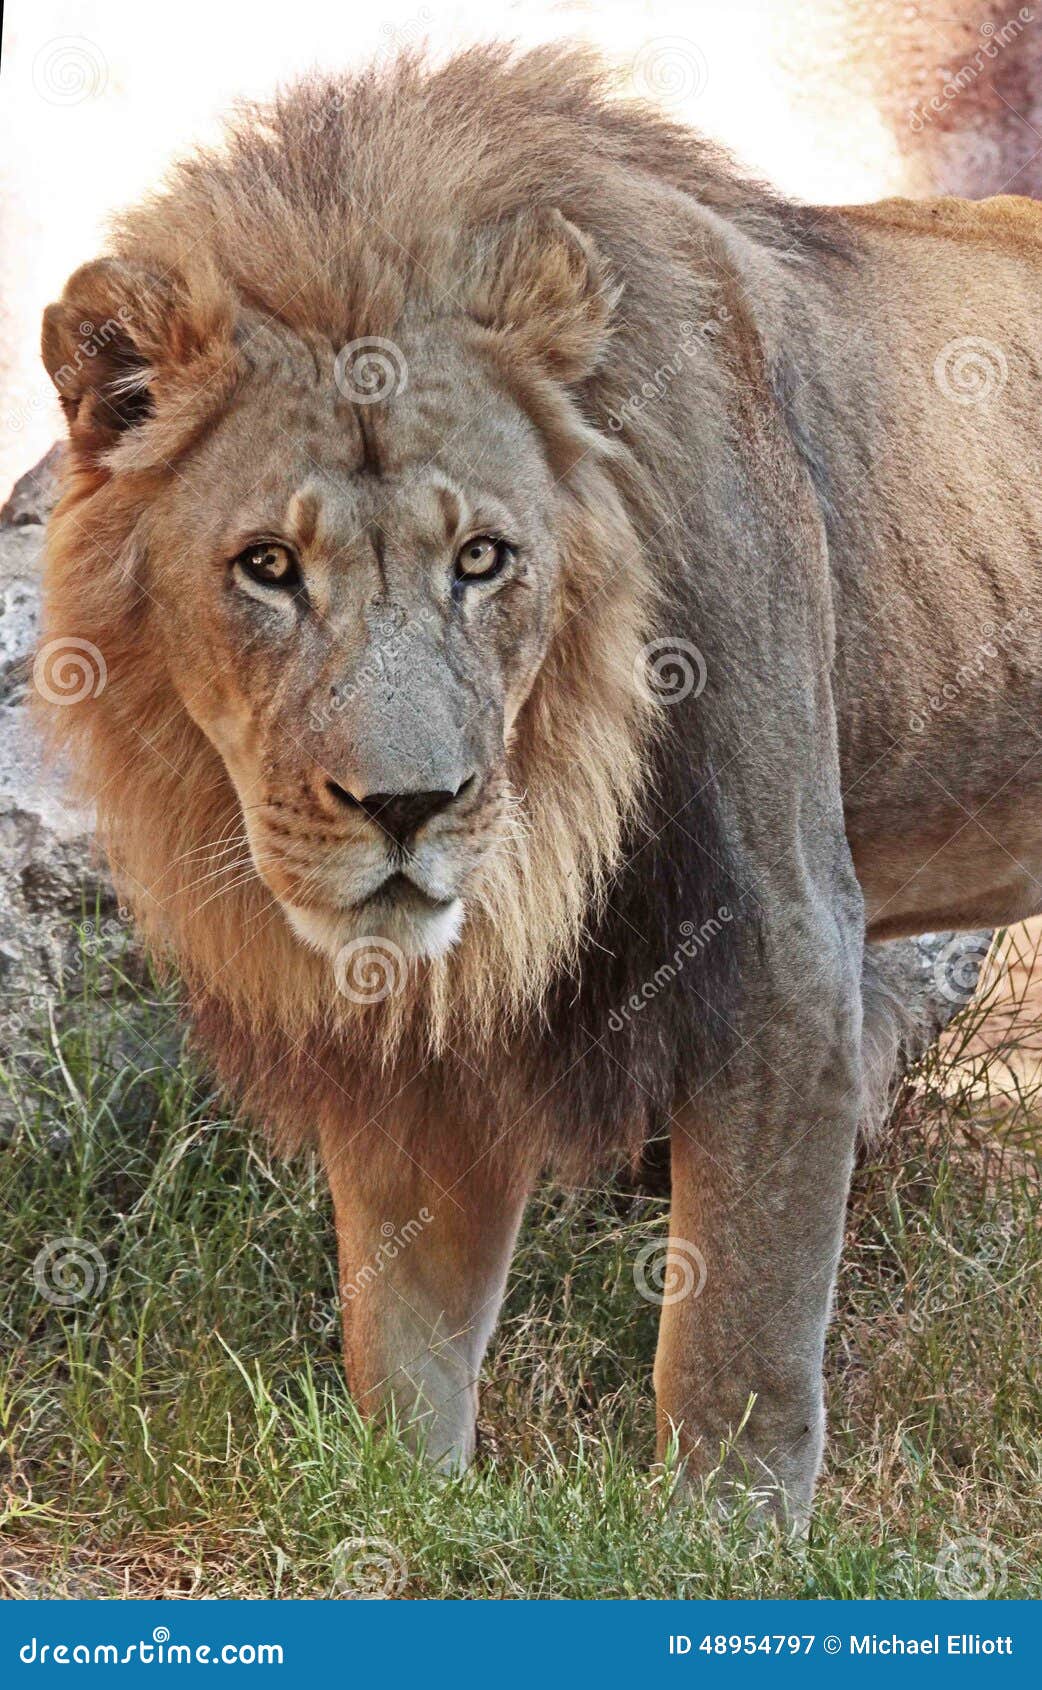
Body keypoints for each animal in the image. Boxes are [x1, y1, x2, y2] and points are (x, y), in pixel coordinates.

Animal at [37, 45, 1040, 1524]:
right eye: (268, 566)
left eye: (482, 559)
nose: (407, 807)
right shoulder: (422, 1022)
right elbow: (400, 1326)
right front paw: (409, 1513)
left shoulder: (785, 940)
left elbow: (735, 1329)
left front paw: (726, 1540)